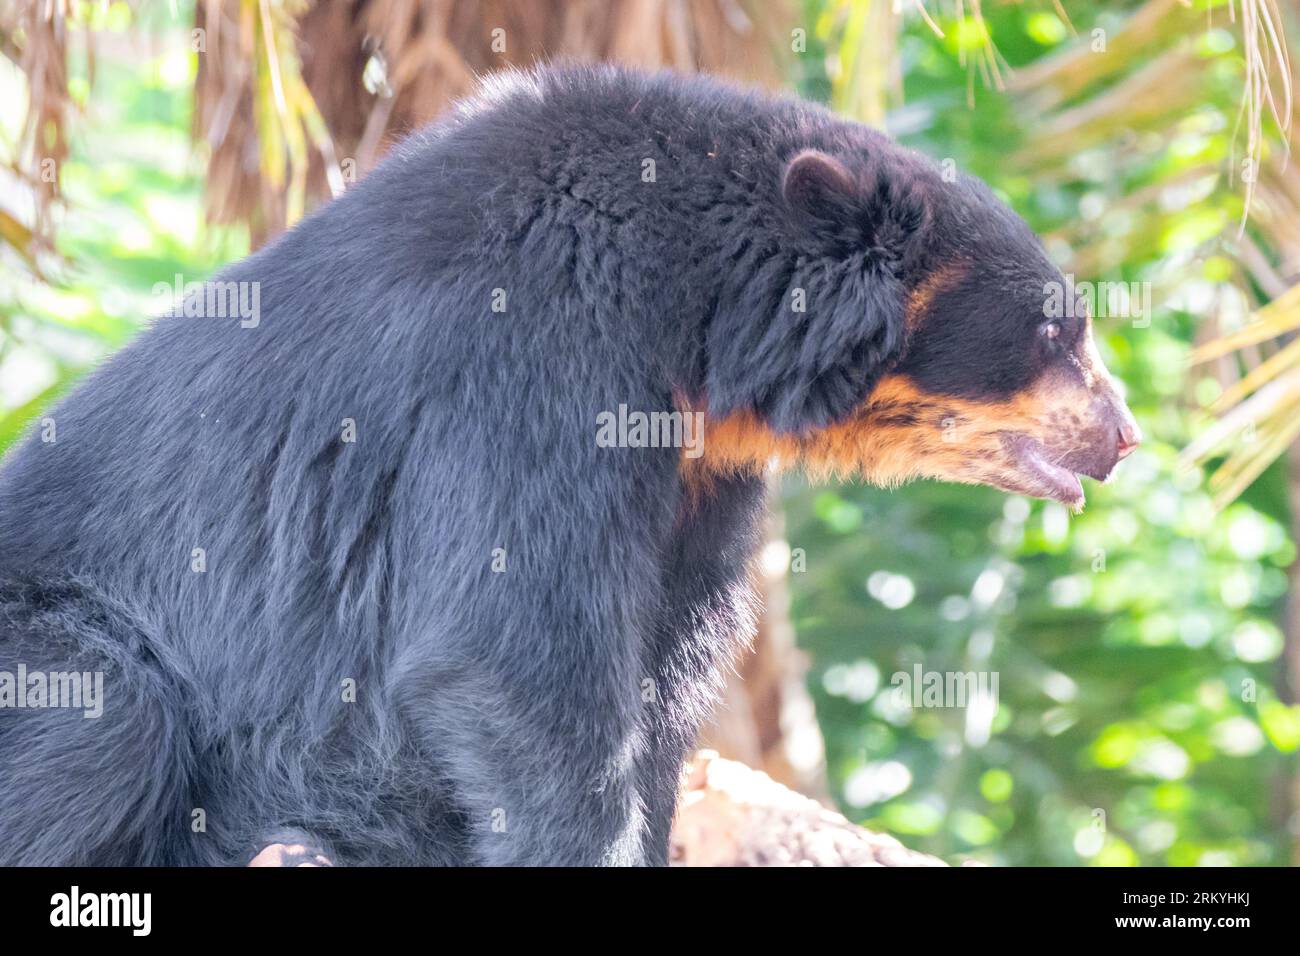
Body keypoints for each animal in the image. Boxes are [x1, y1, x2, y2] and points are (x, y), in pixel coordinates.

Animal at [0, 65, 1138, 866]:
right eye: (1057, 330)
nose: (1123, 435)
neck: (698, 330)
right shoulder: (530, 358)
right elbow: (516, 655)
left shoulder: (697, 472)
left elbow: (662, 680)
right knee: (107, 714)